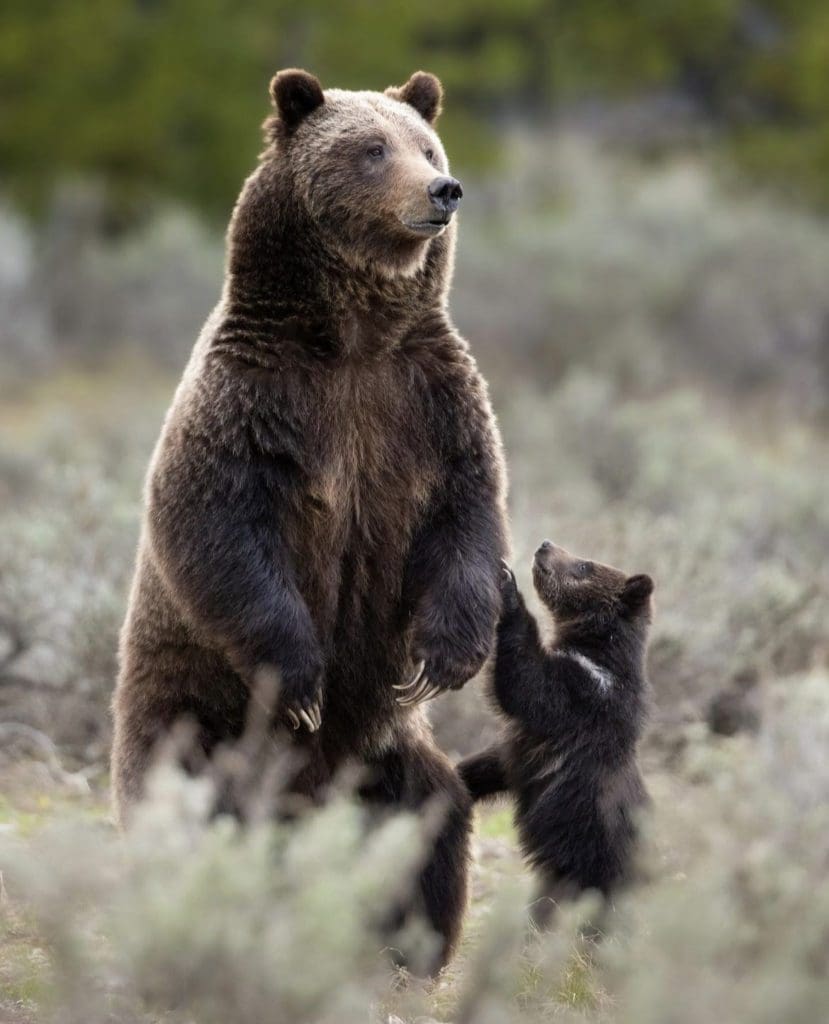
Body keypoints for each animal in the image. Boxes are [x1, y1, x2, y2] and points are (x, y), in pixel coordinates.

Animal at [110, 69, 508, 970]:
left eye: (427, 145)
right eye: (371, 149)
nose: (443, 191)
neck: (354, 337)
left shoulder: (430, 404)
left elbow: (469, 519)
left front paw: (443, 656)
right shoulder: (255, 402)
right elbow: (217, 529)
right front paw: (300, 681)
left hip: (388, 759)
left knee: (432, 818)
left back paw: (408, 951)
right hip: (193, 719)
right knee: (185, 809)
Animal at [458, 541, 653, 926]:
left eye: (585, 565)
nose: (545, 546)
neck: (596, 651)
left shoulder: (582, 697)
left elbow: (526, 683)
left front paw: (508, 586)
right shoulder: (529, 749)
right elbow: (493, 765)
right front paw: (460, 776)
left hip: (587, 859)